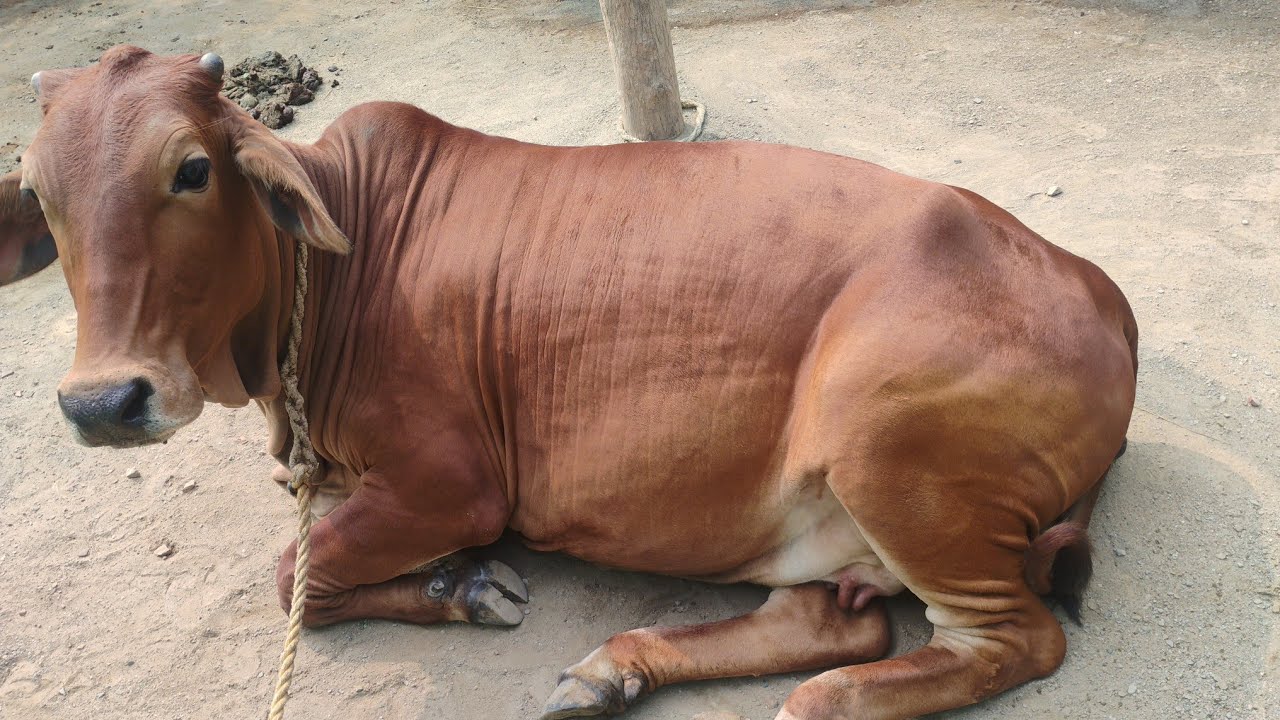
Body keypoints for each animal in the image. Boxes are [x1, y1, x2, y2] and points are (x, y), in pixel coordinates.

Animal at [0, 47, 1137, 720]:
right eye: (43, 193)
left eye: (191, 169)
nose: (103, 404)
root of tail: (1100, 292)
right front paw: (462, 587)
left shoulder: (454, 486)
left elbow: (294, 576)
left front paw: (466, 583)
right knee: (834, 619)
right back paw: (610, 671)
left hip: (885, 449)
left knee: (1009, 638)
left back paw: (818, 701)